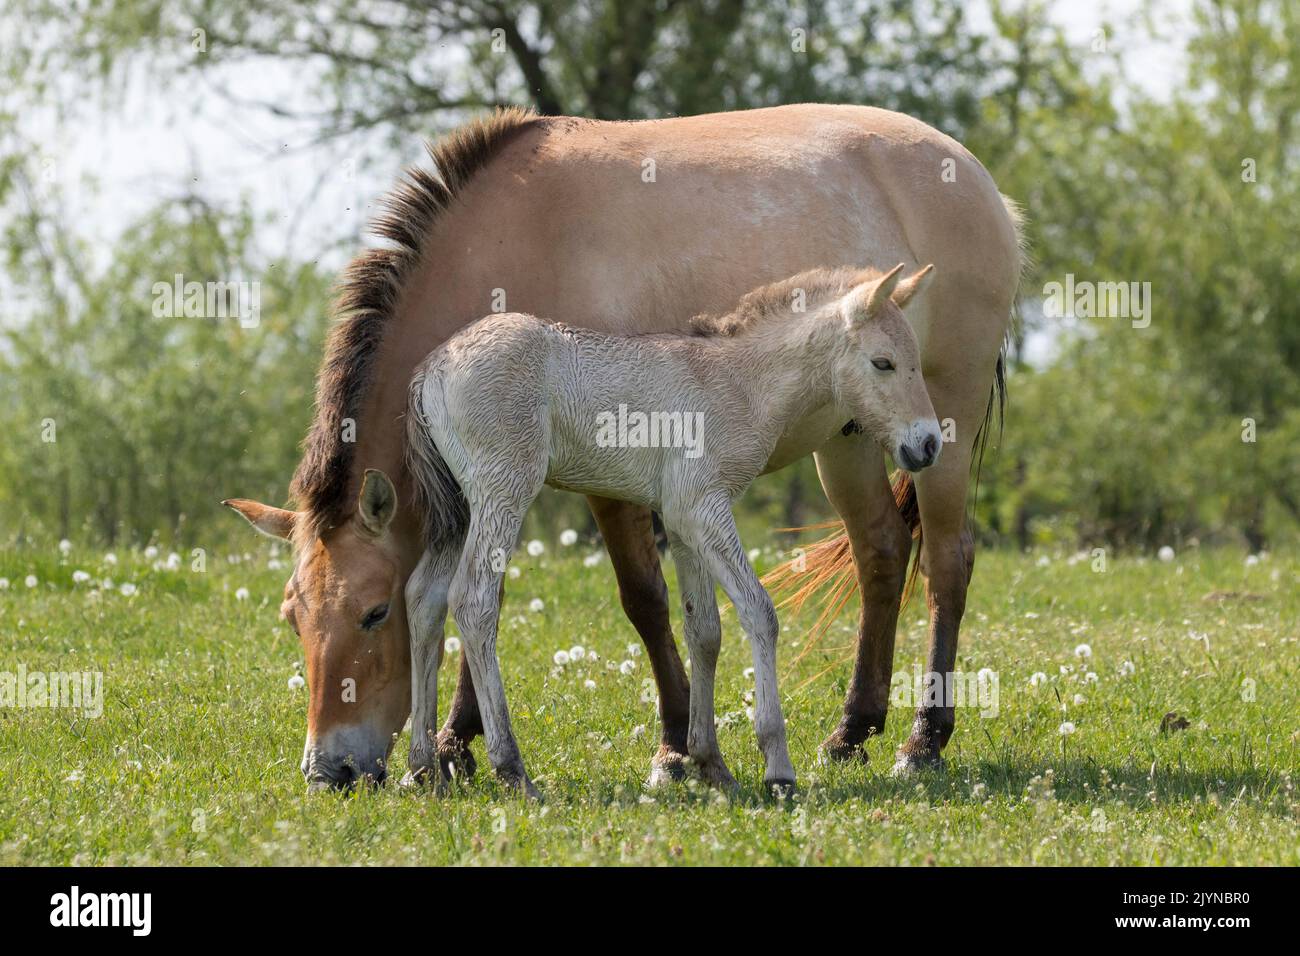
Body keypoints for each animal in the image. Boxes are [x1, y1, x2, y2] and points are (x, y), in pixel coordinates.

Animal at [402, 263, 941, 796]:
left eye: (917, 360)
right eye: (883, 363)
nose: (929, 443)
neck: (739, 382)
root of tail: (433, 367)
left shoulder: (682, 527)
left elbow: (704, 629)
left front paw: (710, 762)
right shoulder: (701, 507)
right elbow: (758, 612)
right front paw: (778, 767)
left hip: (461, 510)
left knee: (423, 599)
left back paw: (423, 766)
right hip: (503, 494)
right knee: (473, 600)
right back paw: (511, 768)